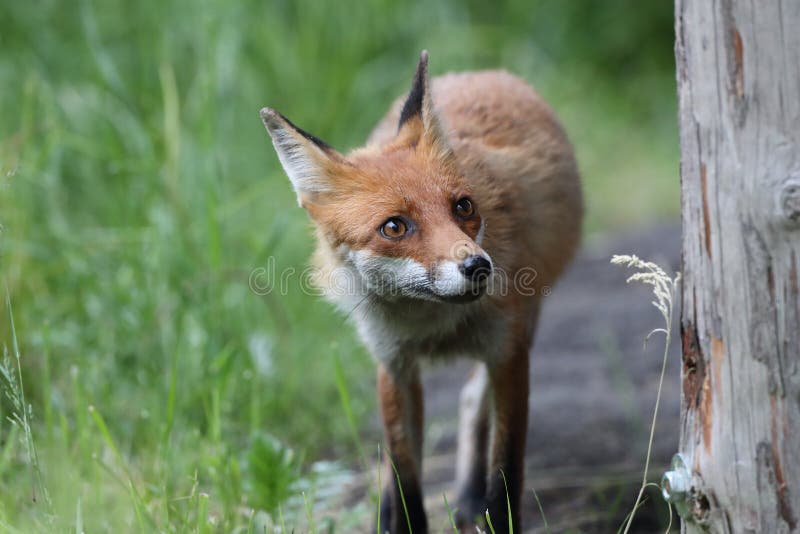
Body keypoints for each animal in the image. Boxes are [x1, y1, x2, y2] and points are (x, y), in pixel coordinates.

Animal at [259, 51, 582, 533]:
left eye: (463, 207)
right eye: (394, 227)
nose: (478, 266)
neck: (431, 324)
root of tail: (481, 72)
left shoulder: (508, 355)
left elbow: (506, 469)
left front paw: (495, 515)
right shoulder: (393, 365)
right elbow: (403, 469)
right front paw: (401, 518)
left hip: (523, 326)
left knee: (471, 403)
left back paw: (468, 495)